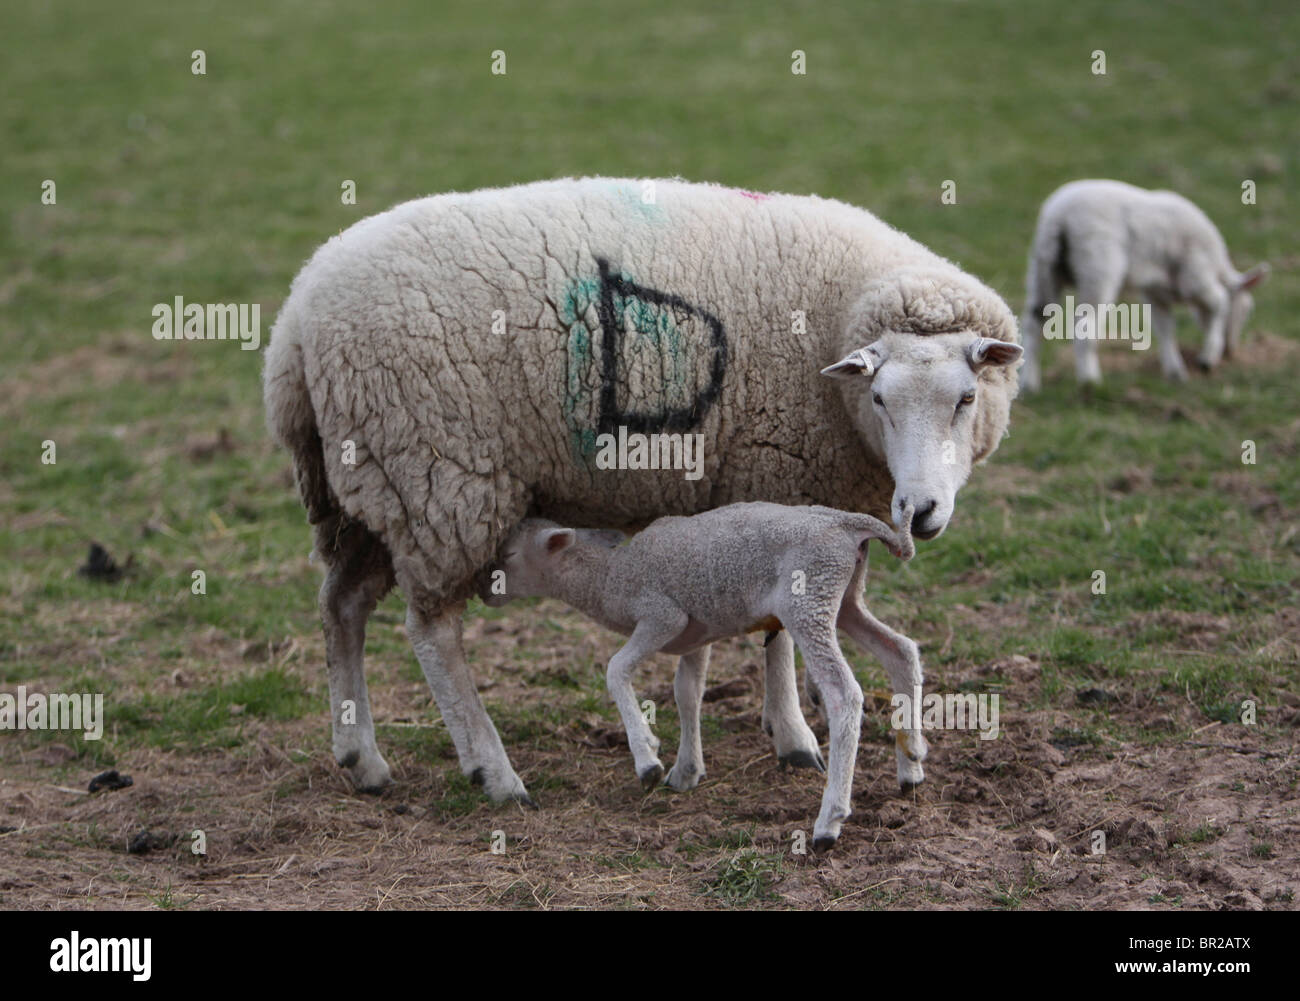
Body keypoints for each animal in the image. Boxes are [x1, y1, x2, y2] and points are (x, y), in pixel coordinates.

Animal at [263, 176, 1022, 806]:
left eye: (965, 397)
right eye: (880, 397)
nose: (918, 511)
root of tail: (292, 326)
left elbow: (770, 629)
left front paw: (785, 727)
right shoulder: (773, 478)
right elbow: (776, 630)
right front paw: (793, 733)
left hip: (367, 488)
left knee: (343, 607)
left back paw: (362, 758)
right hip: (440, 480)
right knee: (432, 632)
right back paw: (494, 771)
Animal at [486, 501, 918, 850]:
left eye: (509, 553)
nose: (484, 592)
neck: (609, 579)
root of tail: (848, 523)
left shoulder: (662, 615)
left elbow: (615, 669)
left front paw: (647, 758)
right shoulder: (697, 633)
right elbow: (687, 692)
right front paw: (686, 771)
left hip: (809, 597)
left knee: (845, 694)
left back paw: (829, 822)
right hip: (846, 597)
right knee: (901, 652)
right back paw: (911, 768)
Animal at [1019, 179, 1269, 391]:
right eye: (1246, 311)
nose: (1230, 352)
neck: (1218, 266)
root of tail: (1058, 218)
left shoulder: (1156, 293)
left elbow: (1165, 328)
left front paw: (1175, 372)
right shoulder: (1196, 276)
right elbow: (1219, 304)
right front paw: (1207, 359)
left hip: (1042, 269)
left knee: (1034, 323)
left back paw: (1029, 384)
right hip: (1098, 267)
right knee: (1085, 327)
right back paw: (1090, 381)